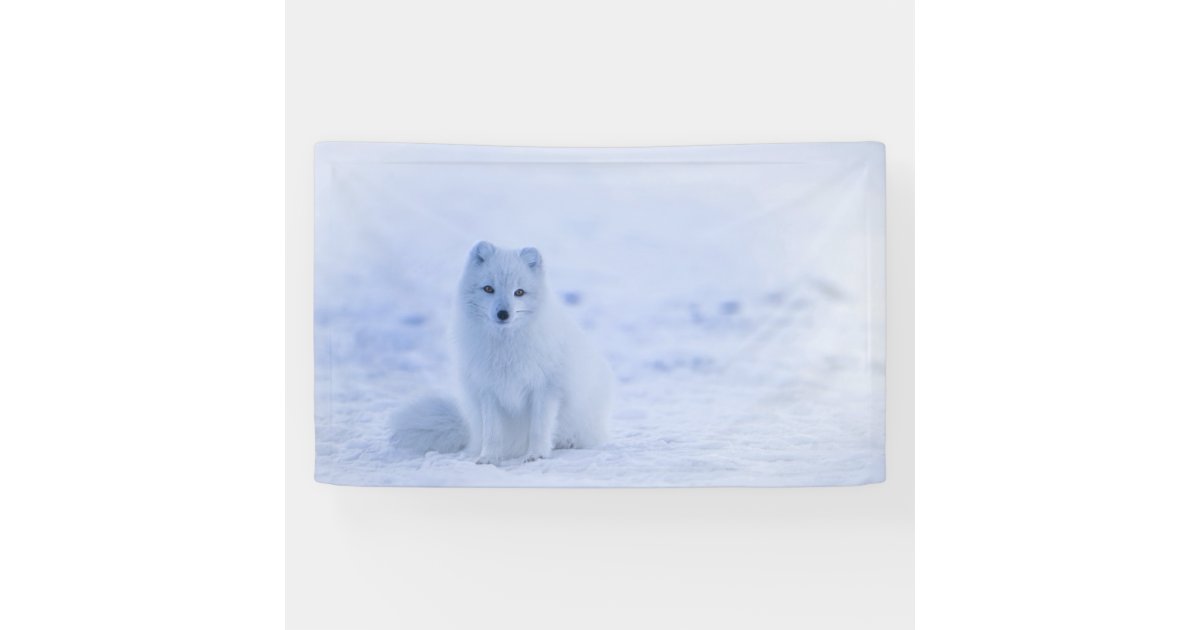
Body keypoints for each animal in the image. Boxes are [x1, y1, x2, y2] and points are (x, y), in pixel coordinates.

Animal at [390, 241, 614, 464]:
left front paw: (536, 455)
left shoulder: (545, 388)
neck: (505, 347)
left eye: (519, 292)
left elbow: (539, 428)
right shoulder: (488, 390)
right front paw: (488, 458)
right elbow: (492, 432)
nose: (503, 314)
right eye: (489, 289)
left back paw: (568, 442)